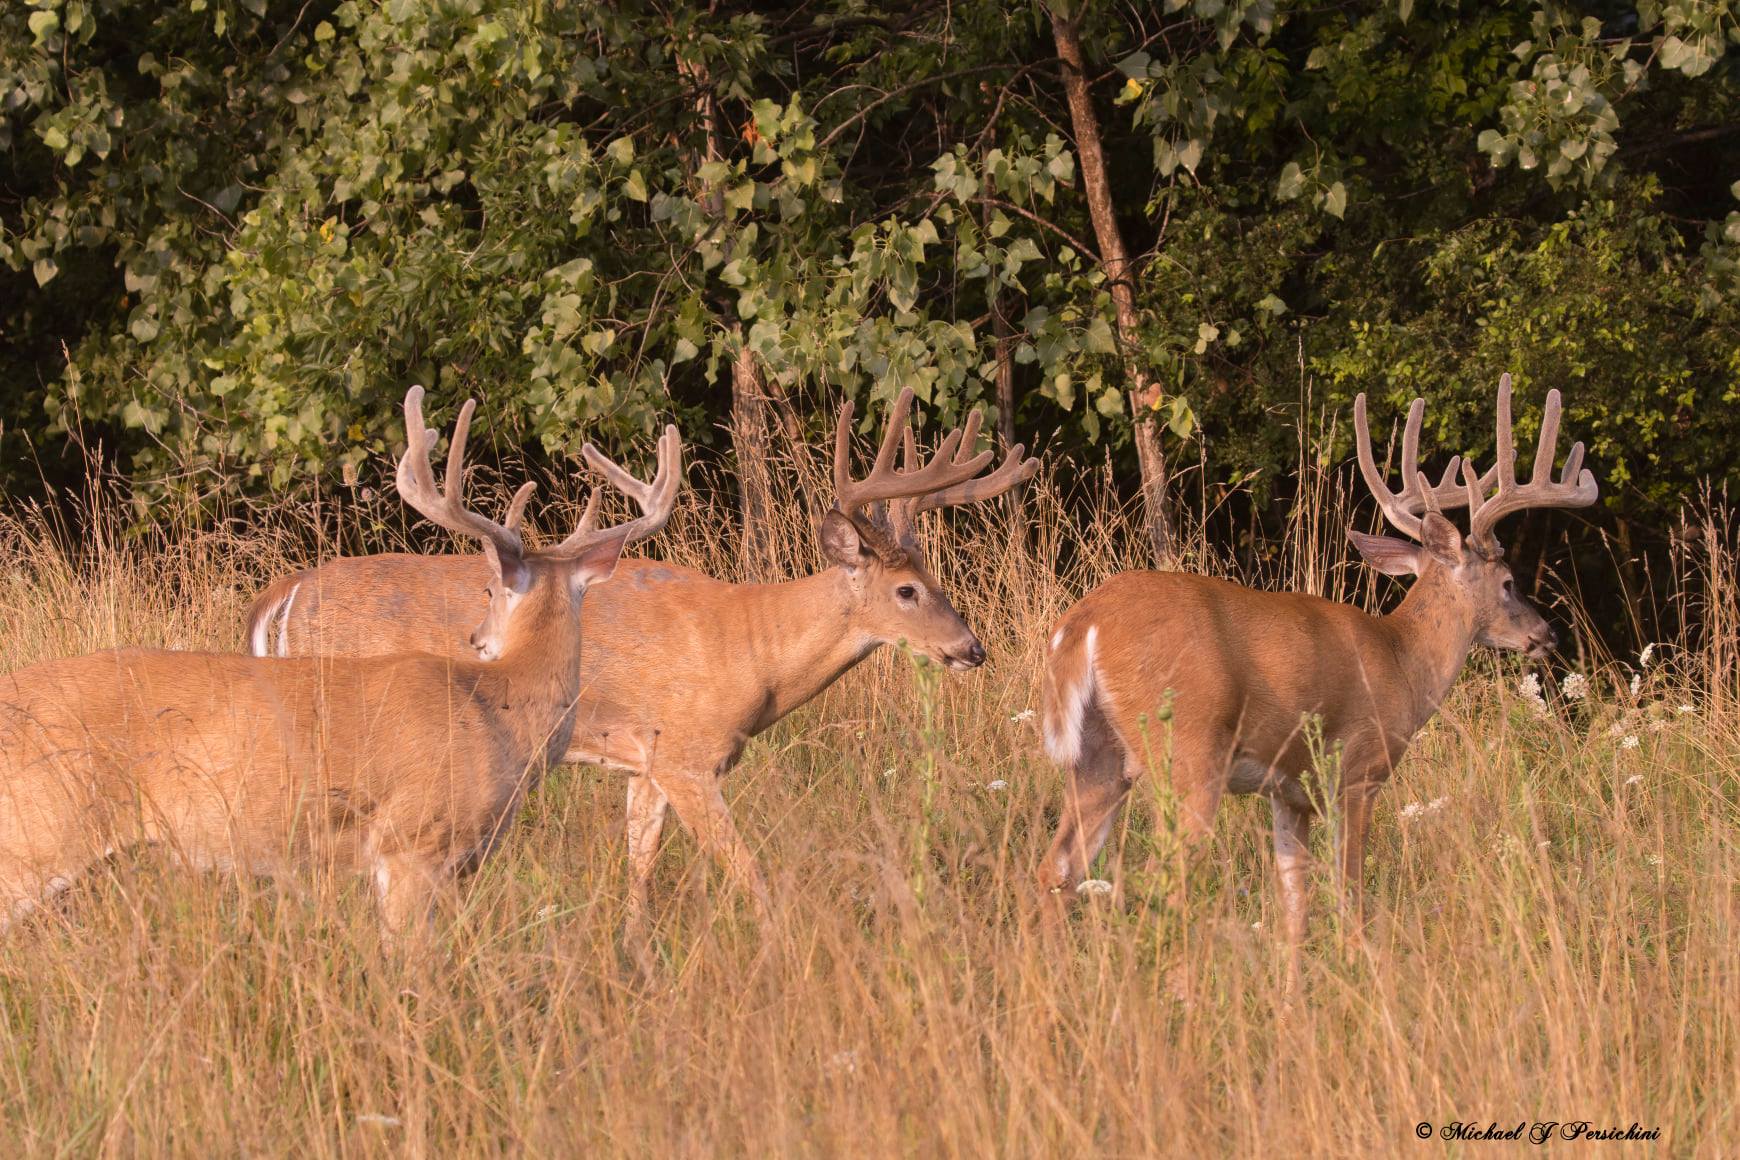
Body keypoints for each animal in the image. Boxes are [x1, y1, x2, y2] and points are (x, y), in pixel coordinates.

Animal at [244, 387, 1038, 966]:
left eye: (934, 578)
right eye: (905, 591)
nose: (973, 649)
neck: (751, 650)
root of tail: (284, 596)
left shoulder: (645, 762)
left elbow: (639, 867)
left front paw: (635, 959)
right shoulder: (688, 756)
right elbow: (746, 869)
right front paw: (780, 953)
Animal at [1038, 374, 1597, 957]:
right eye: (1508, 583)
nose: (1546, 634)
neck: (1403, 660)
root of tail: (1083, 625)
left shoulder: (1291, 794)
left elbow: (1295, 906)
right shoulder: (1358, 771)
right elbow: (1349, 892)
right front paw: (1357, 960)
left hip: (1099, 757)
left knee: (1058, 868)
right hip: (1186, 752)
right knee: (1157, 878)